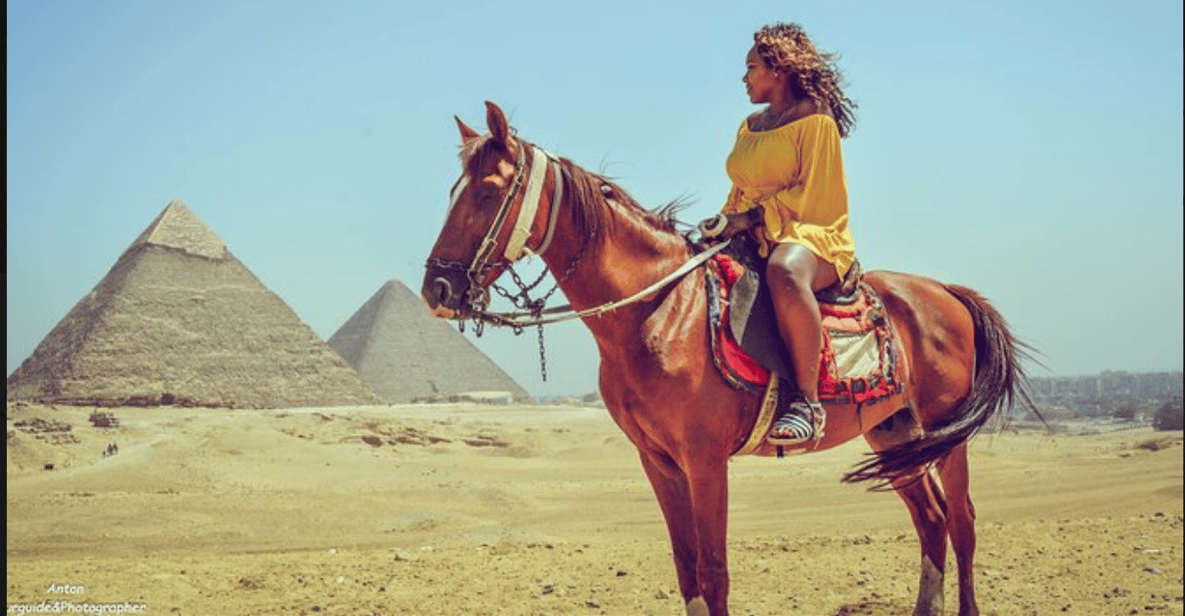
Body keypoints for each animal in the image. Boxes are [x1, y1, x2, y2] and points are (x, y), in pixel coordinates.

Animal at [422, 101, 1035, 616]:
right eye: (451, 191)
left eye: (487, 192)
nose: (437, 289)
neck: (657, 310)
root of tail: (947, 291)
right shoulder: (658, 461)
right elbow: (686, 566)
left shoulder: (705, 460)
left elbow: (714, 572)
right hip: (894, 430)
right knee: (931, 520)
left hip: (944, 430)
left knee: (962, 522)